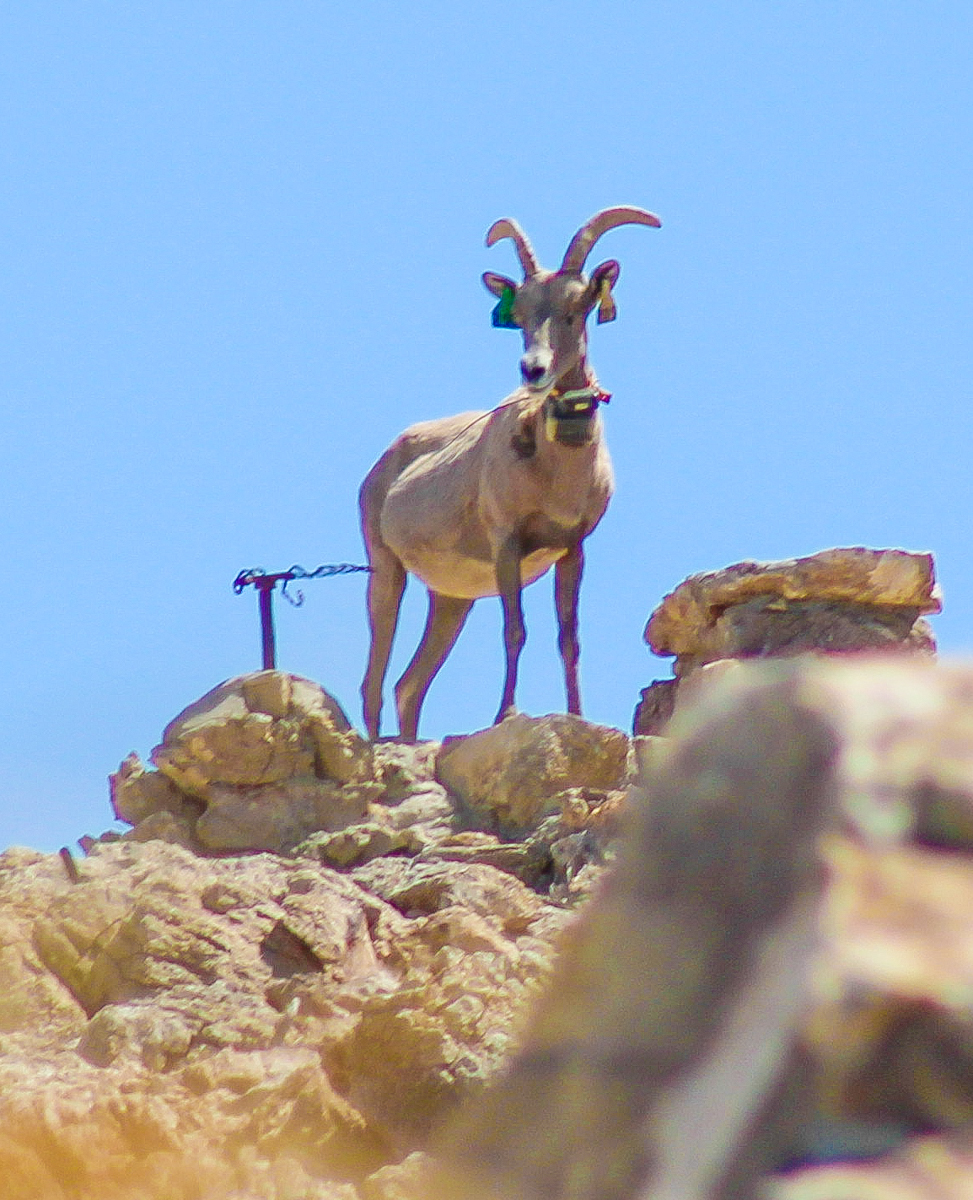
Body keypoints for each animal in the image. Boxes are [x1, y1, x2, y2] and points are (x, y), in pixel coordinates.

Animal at [359, 206, 661, 740]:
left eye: (575, 309)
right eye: (519, 316)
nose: (533, 369)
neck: (557, 474)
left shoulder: (572, 548)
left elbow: (568, 636)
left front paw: (576, 714)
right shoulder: (507, 543)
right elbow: (515, 630)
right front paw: (506, 714)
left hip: (450, 599)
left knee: (408, 685)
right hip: (385, 569)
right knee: (374, 683)